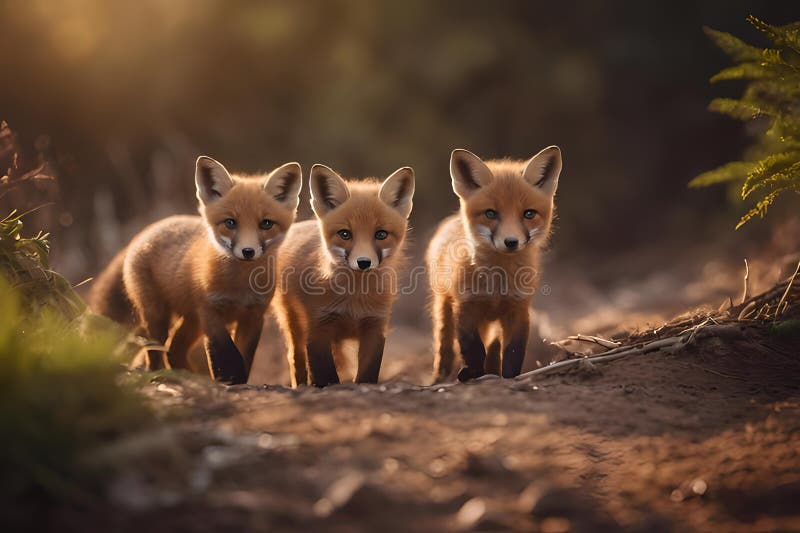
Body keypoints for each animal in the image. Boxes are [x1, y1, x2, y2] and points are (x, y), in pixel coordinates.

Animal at [88, 156, 302, 384]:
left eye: (266, 224)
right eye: (230, 222)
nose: (248, 251)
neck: (239, 286)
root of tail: (149, 229)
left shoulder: (254, 316)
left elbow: (244, 355)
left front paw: (237, 379)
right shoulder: (210, 312)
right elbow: (224, 352)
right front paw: (227, 379)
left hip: (191, 320)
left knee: (174, 349)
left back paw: (187, 376)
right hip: (158, 315)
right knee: (155, 348)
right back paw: (158, 373)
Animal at [273, 163, 415, 387]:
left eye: (381, 234)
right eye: (345, 234)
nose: (364, 262)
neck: (354, 300)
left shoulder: (375, 325)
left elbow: (366, 373)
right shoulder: (318, 326)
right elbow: (325, 373)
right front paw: (324, 386)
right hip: (292, 322)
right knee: (296, 357)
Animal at [427, 146, 562, 383]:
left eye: (529, 214)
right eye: (490, 213)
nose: (511, 242)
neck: (497, 284)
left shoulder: (518, 309)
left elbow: (512, 352)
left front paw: (508, 378)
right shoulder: (466, 307)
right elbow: (473, 349)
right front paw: (473, 373)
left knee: (493, 347)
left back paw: (491, 372)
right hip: (443, 306)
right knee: (445, 347)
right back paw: (441, 377)